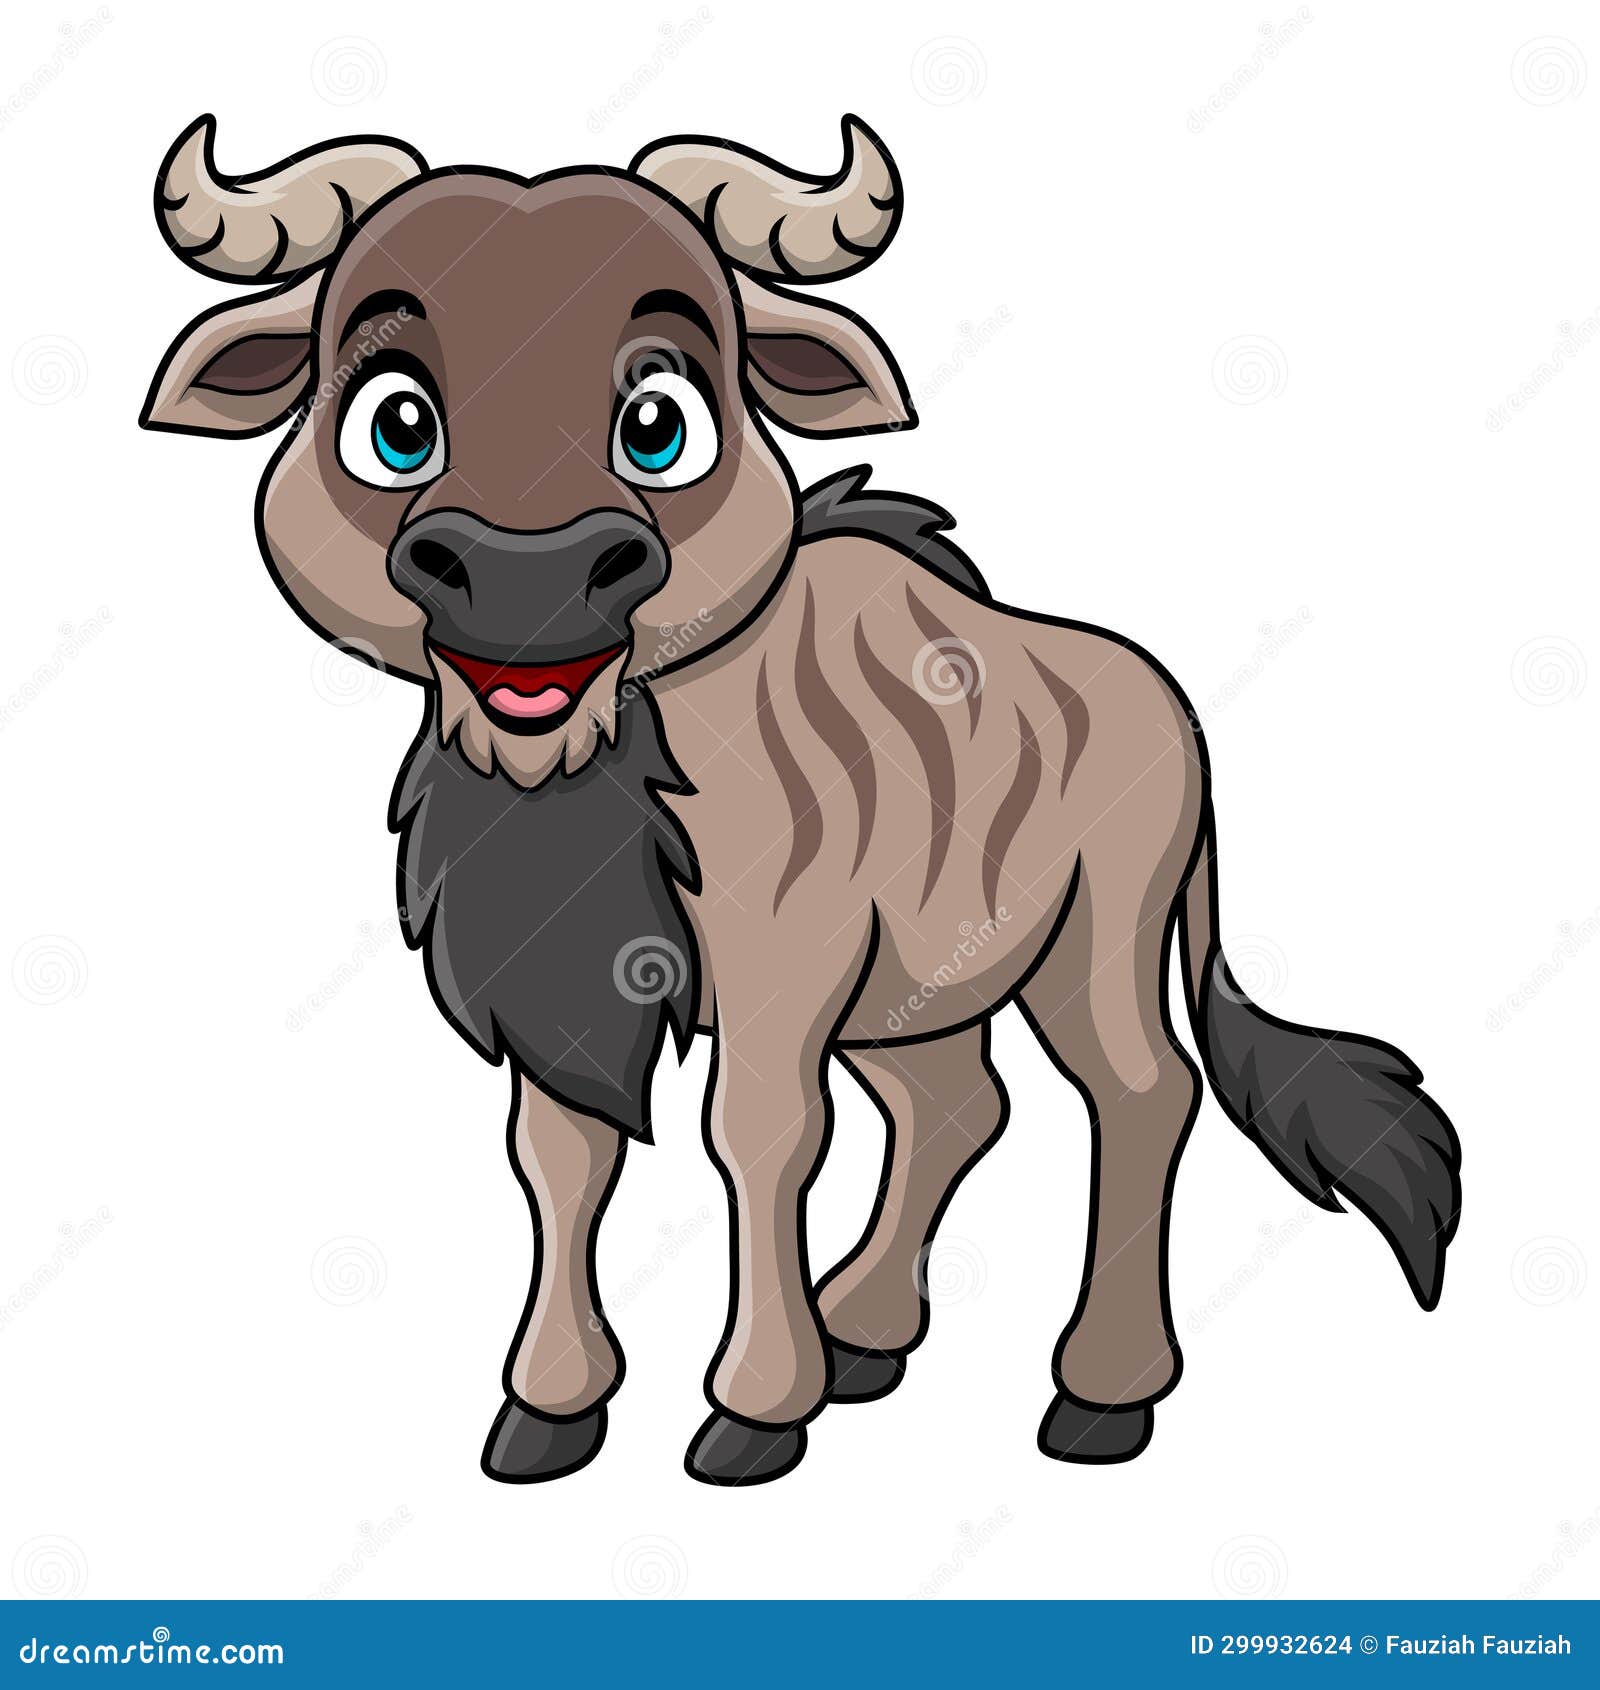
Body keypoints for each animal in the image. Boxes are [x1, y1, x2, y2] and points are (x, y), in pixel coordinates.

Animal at [142, 114, 1461, 1485]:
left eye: (659, 418)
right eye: (395, 418)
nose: (527, 576)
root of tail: (1168, 706)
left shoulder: (780, 971)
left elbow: (760, 1135)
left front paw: (756, 1409)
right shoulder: (560, 997)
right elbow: (561, 1159)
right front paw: (552, 1409)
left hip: (1092, 948)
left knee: (1141, 1095)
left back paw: (1098, 1395)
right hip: (920, 994)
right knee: (958, 1107)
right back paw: (869, 1333)